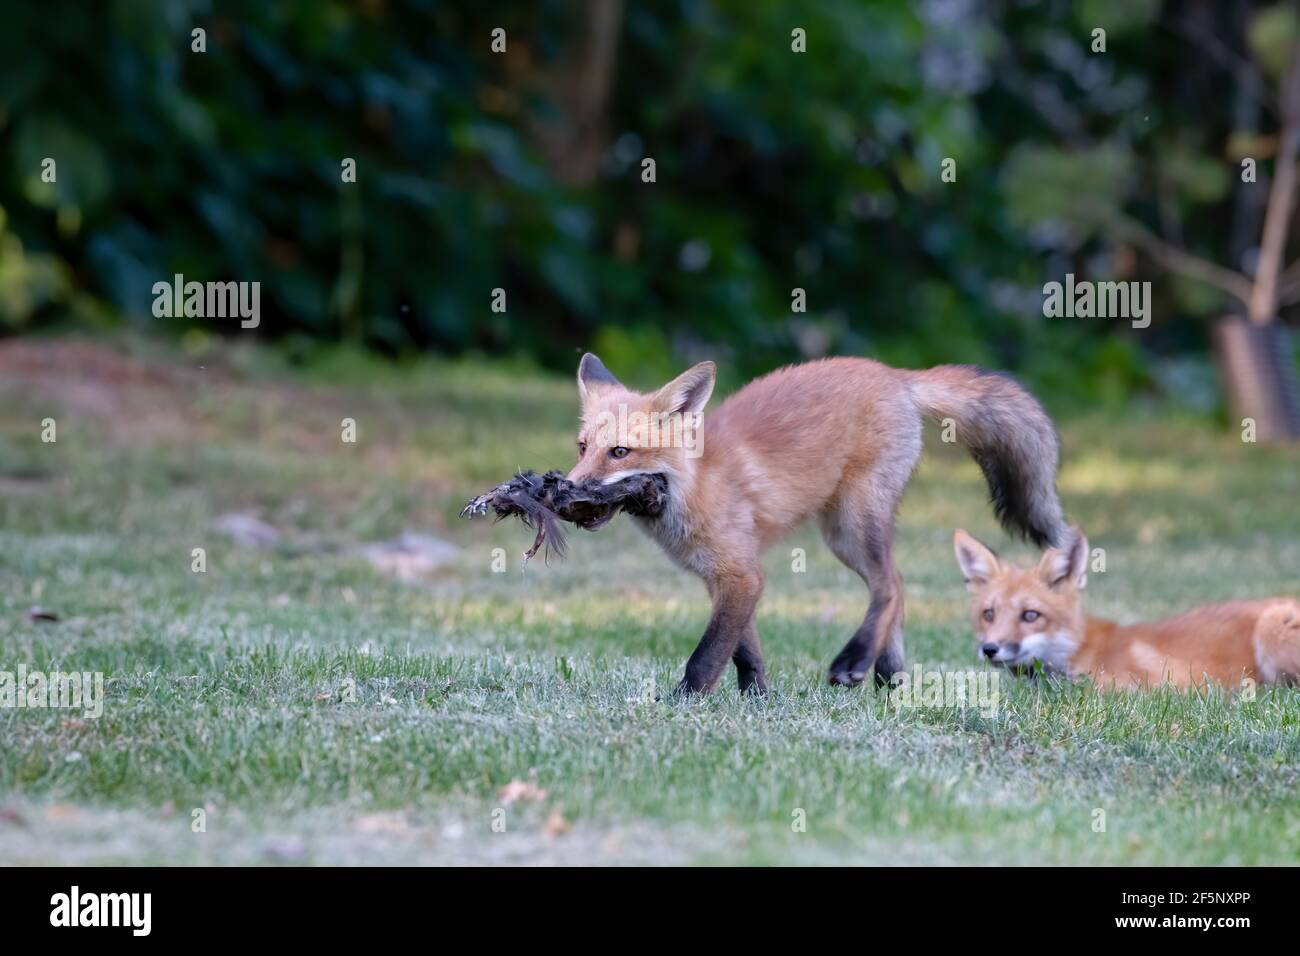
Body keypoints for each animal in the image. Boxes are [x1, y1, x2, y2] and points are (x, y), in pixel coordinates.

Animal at [566, 352, 1067, 694]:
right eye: (582, 447)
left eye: (620, 452)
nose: (568, 488)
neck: (694, 484)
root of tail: (896, 374)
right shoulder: (726, 576)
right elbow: (745, 650)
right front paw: (758, 699)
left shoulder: (742, 573)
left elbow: (708, 656)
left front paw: (683, 703)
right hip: (845, 536)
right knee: (899, 585)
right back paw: (890, 677)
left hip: (852, 524)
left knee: (890, 586)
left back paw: (857, 660)